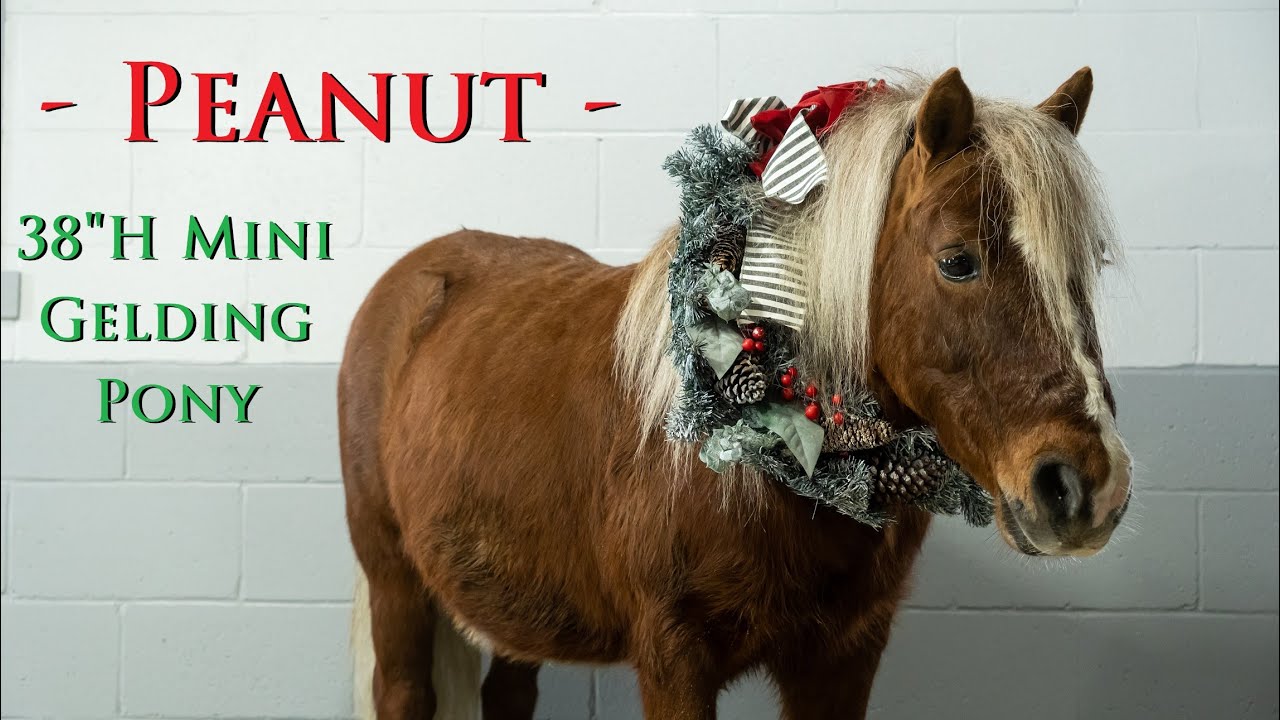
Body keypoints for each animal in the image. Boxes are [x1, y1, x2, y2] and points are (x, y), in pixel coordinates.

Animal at [339, 67, 1134, 720]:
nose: (1087, 486)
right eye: (958, 261)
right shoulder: (673, 656)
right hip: (396, 581)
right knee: (402, 693)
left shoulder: (844, 658)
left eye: (1090, 263)